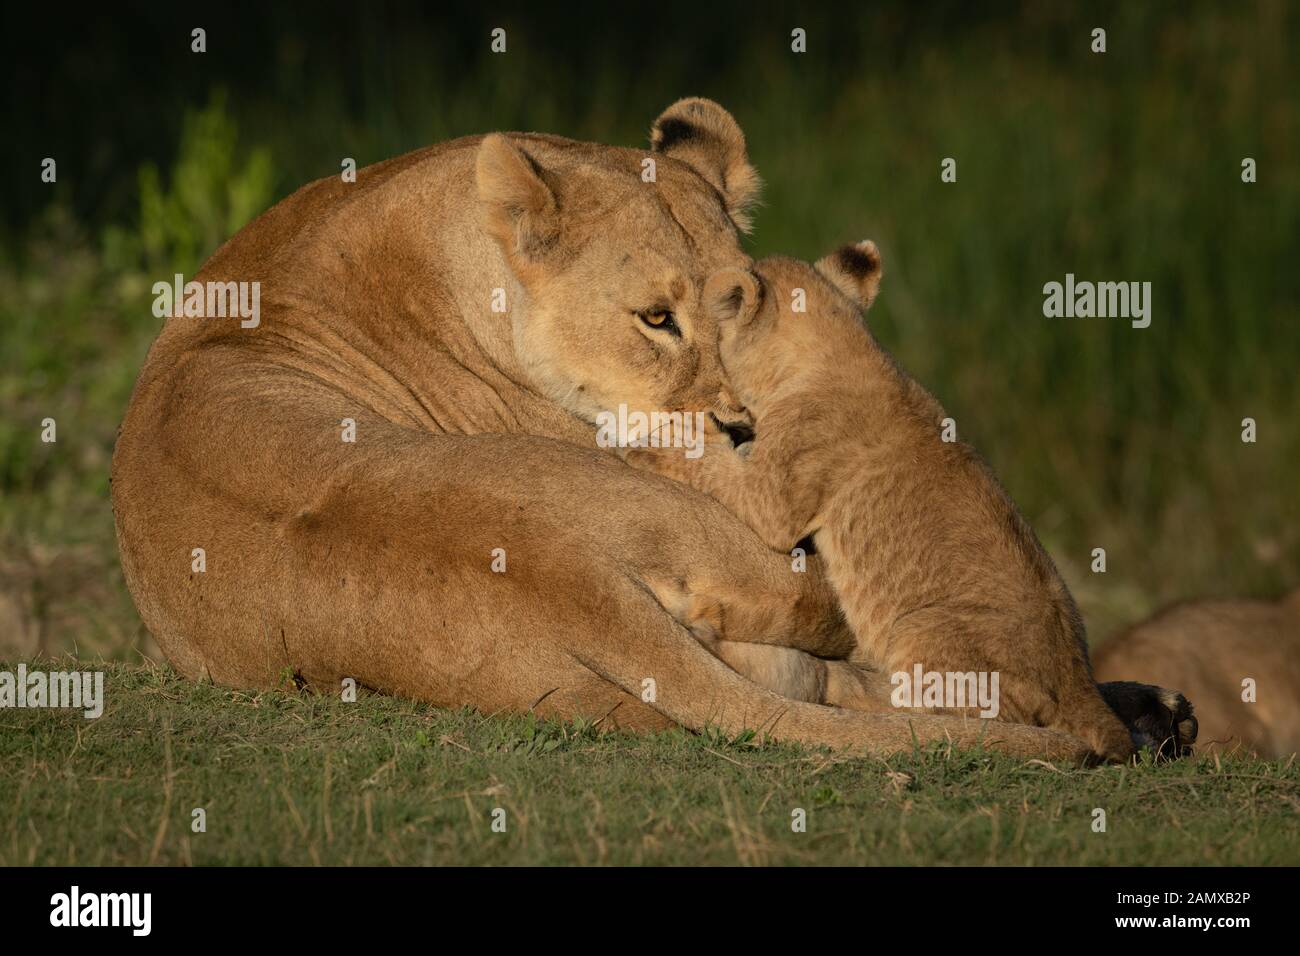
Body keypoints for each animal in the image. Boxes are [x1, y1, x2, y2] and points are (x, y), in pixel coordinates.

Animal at [626, 243, 1196, 760]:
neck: (839, 348)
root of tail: (1078, 680)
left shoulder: (773, 499)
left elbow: (712, 468)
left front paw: (653, 441)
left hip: (918, 630)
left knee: (941, 720)